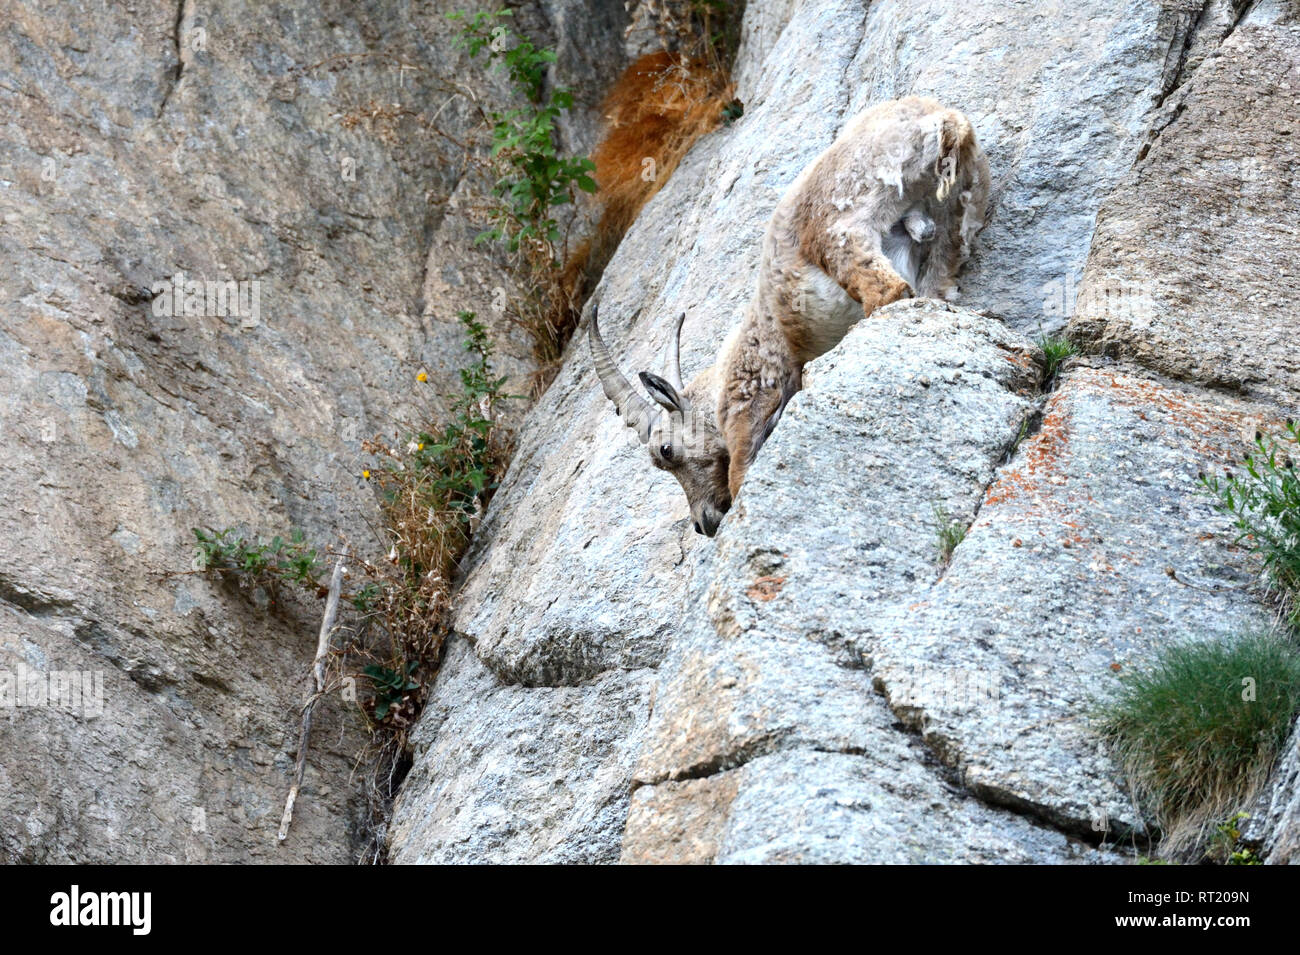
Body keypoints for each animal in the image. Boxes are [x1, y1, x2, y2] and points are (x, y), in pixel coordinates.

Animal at [590, 96, 990, 536]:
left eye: (665, 450)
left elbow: (740, 472)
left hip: (840, 229)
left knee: (887, 290)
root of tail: (942, 123)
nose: (704, 522)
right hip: (952, 220)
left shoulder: (750, 398)